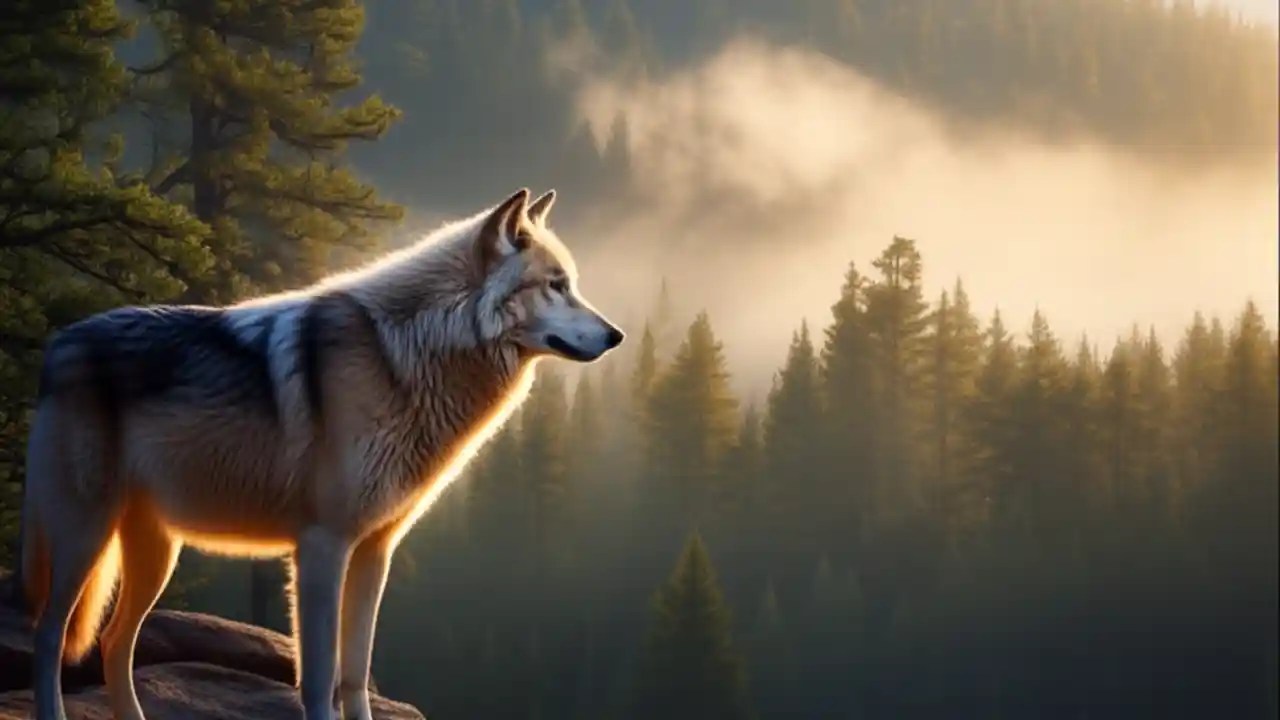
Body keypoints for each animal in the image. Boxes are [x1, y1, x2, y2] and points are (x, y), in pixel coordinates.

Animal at [17, 188, 623, 720]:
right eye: (556, 285)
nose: (616, 335)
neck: (403, 356)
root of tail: (58, 344)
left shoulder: (375, 551)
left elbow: (354, 673)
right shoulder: (321, 547)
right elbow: (317, 678)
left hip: (155, 555)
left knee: (115, 640)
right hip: (83, 537)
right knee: (49, 636)